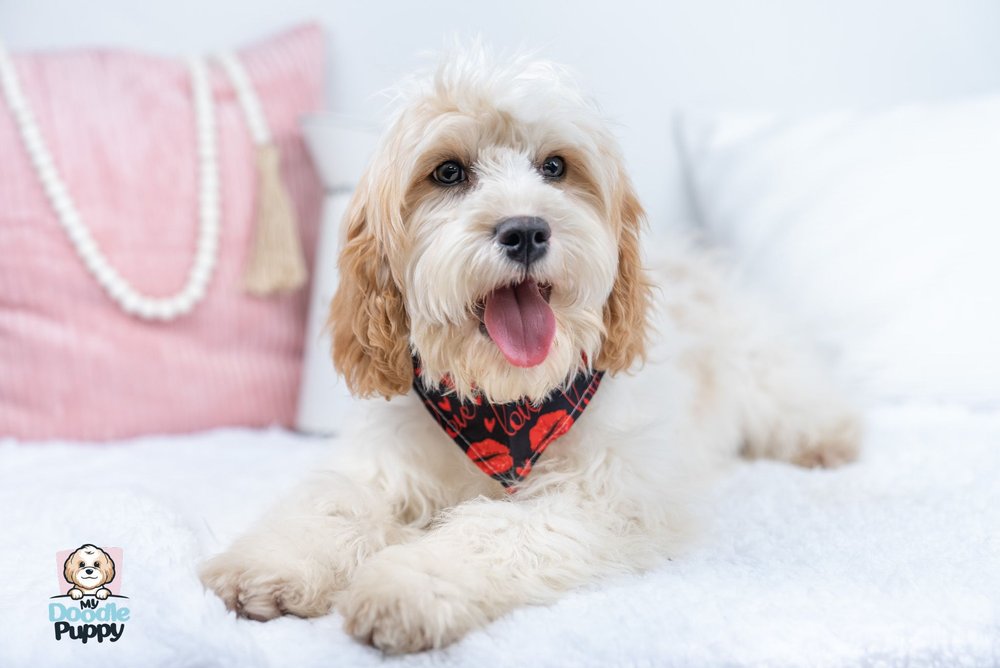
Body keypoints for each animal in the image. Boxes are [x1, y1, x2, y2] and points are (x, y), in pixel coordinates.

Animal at [197, 49, 860, 656]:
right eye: (448, 172)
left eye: (555, 166)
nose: (524, 230)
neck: (505, 399)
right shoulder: (381, 464)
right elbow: (335, 503)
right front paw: (273, 563)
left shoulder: (606, 496)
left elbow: (491, 530)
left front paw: (408, 585)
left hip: (766, 374)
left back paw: (828, 440)